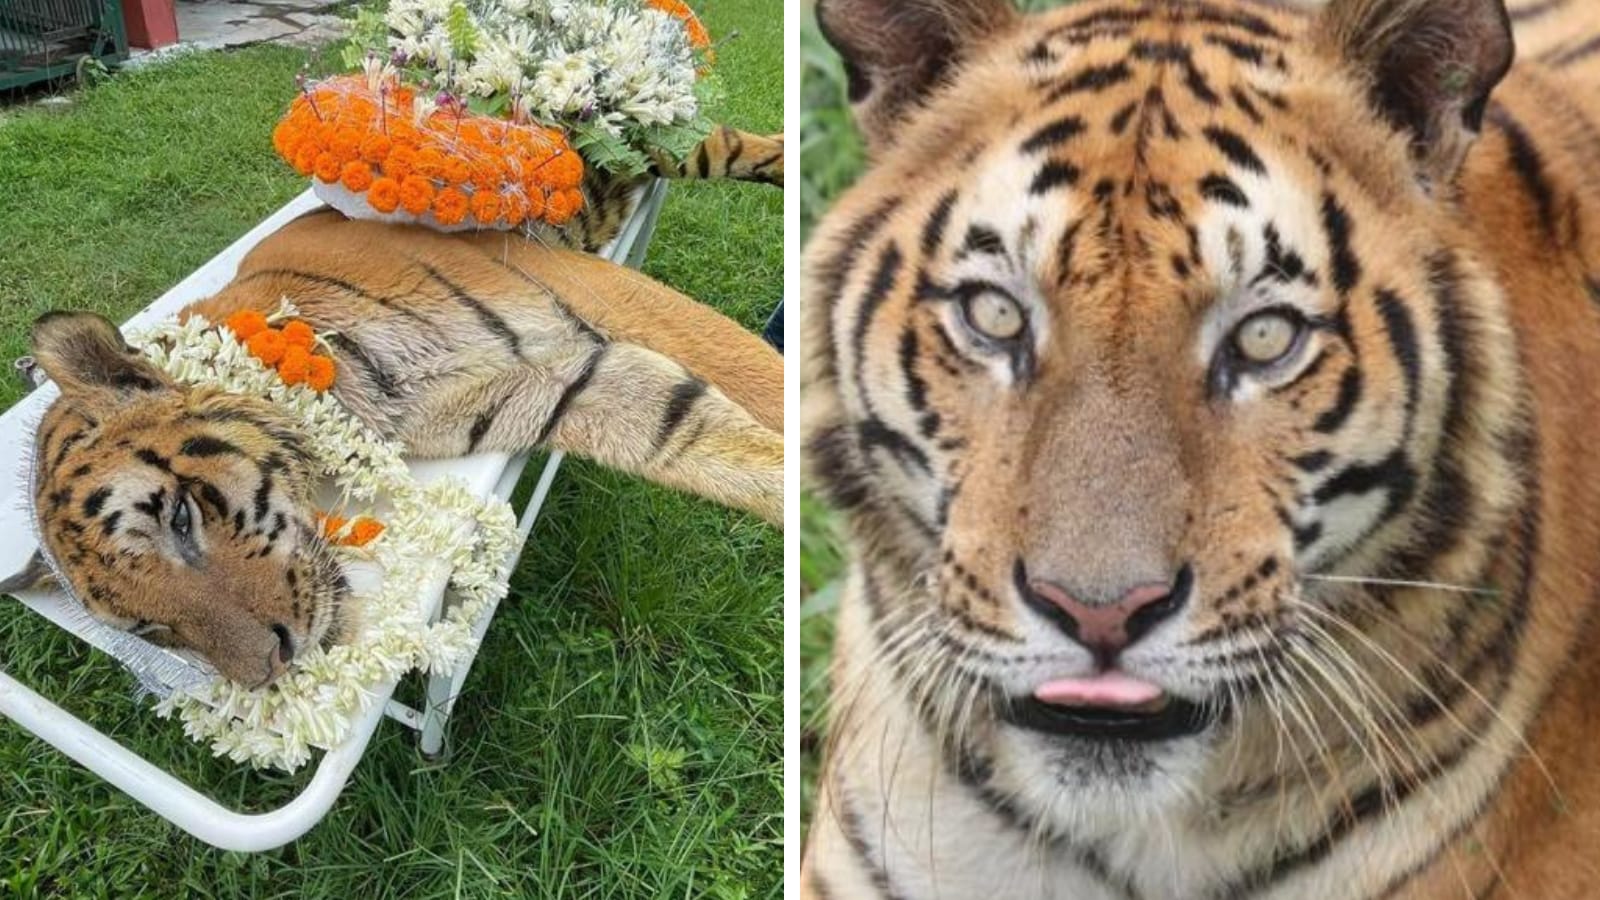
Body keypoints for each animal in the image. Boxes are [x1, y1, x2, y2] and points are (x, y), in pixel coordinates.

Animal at [0, 206, 782, 689]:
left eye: (180, 520)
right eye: (153, 630)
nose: (274, 668)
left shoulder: (595, 296)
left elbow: (759, 374)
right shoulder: (557, 386)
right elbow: (713, 440)